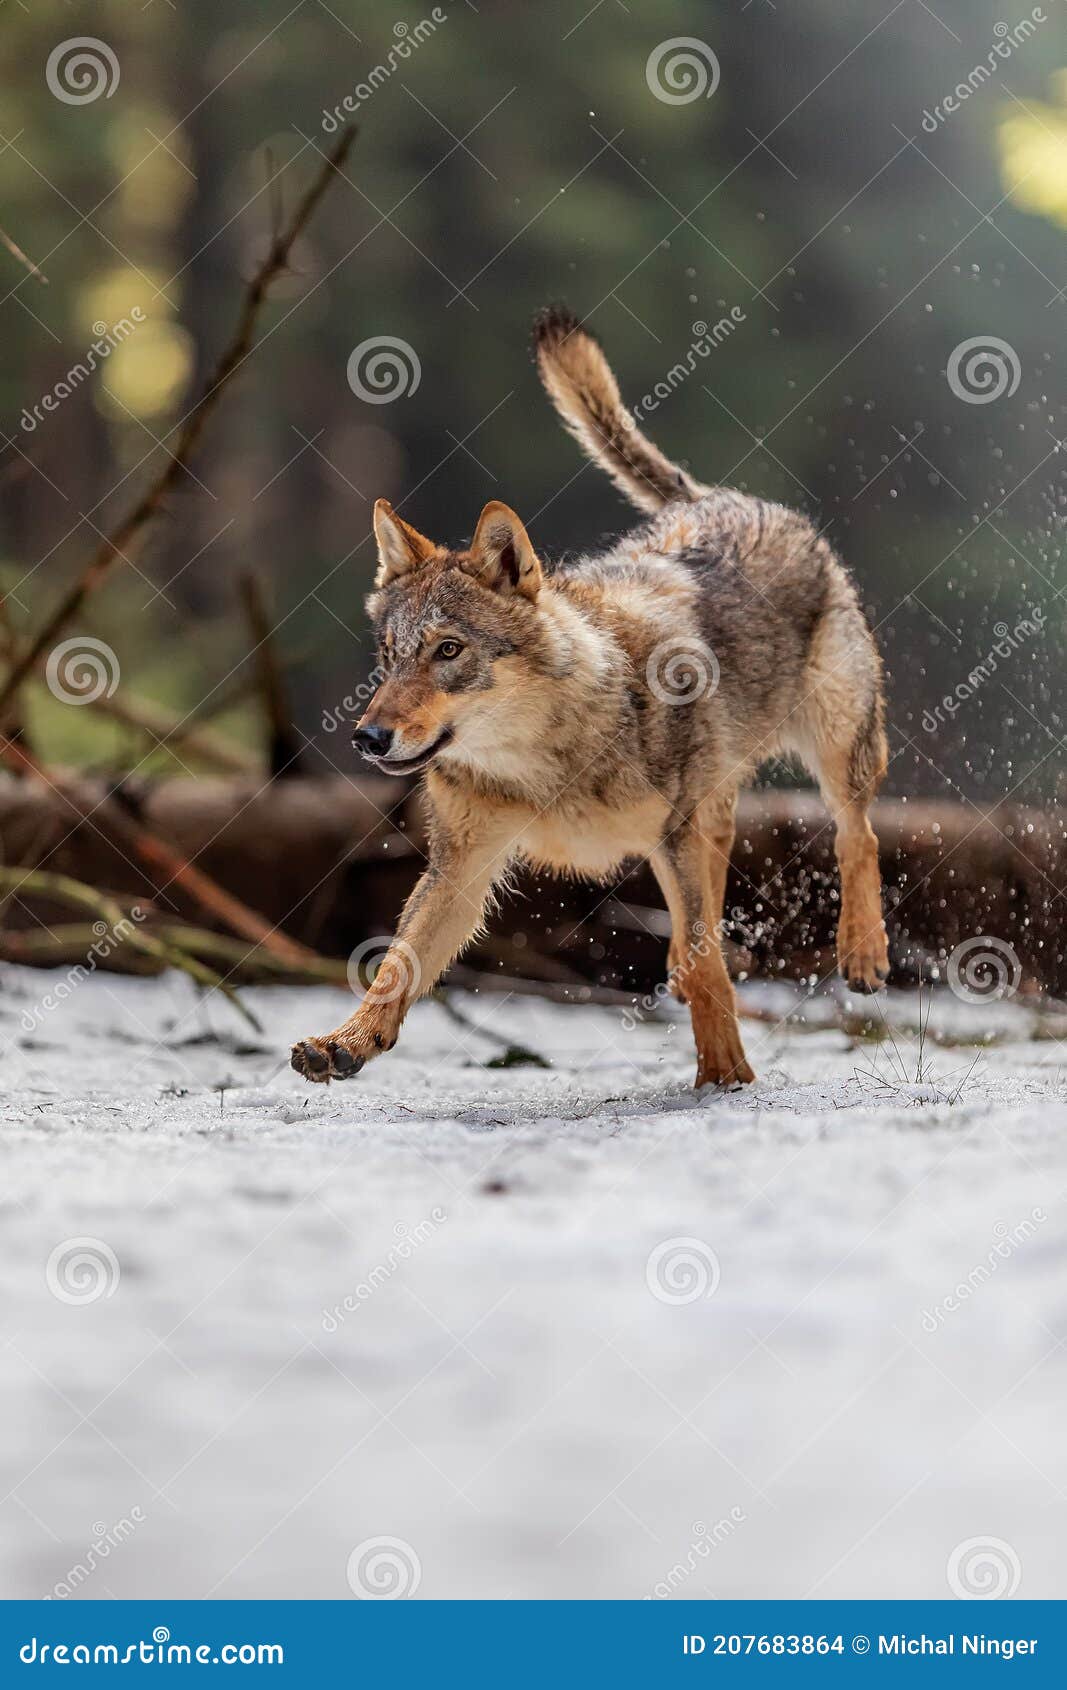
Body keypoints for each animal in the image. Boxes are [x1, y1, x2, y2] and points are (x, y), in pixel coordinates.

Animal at [291, 305, 889, 1089]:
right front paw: (345, 1042)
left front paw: (725, 1077)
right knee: (722, 870)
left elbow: (712, 968)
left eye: (447, 651)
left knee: (857, 834)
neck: (542, 762)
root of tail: (715, 499)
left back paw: (863, 951)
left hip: (836, 746)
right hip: (715, 797)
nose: (367, 738)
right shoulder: (461, 866)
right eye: (390, 657)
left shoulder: (671, 833)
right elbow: (396, 965)